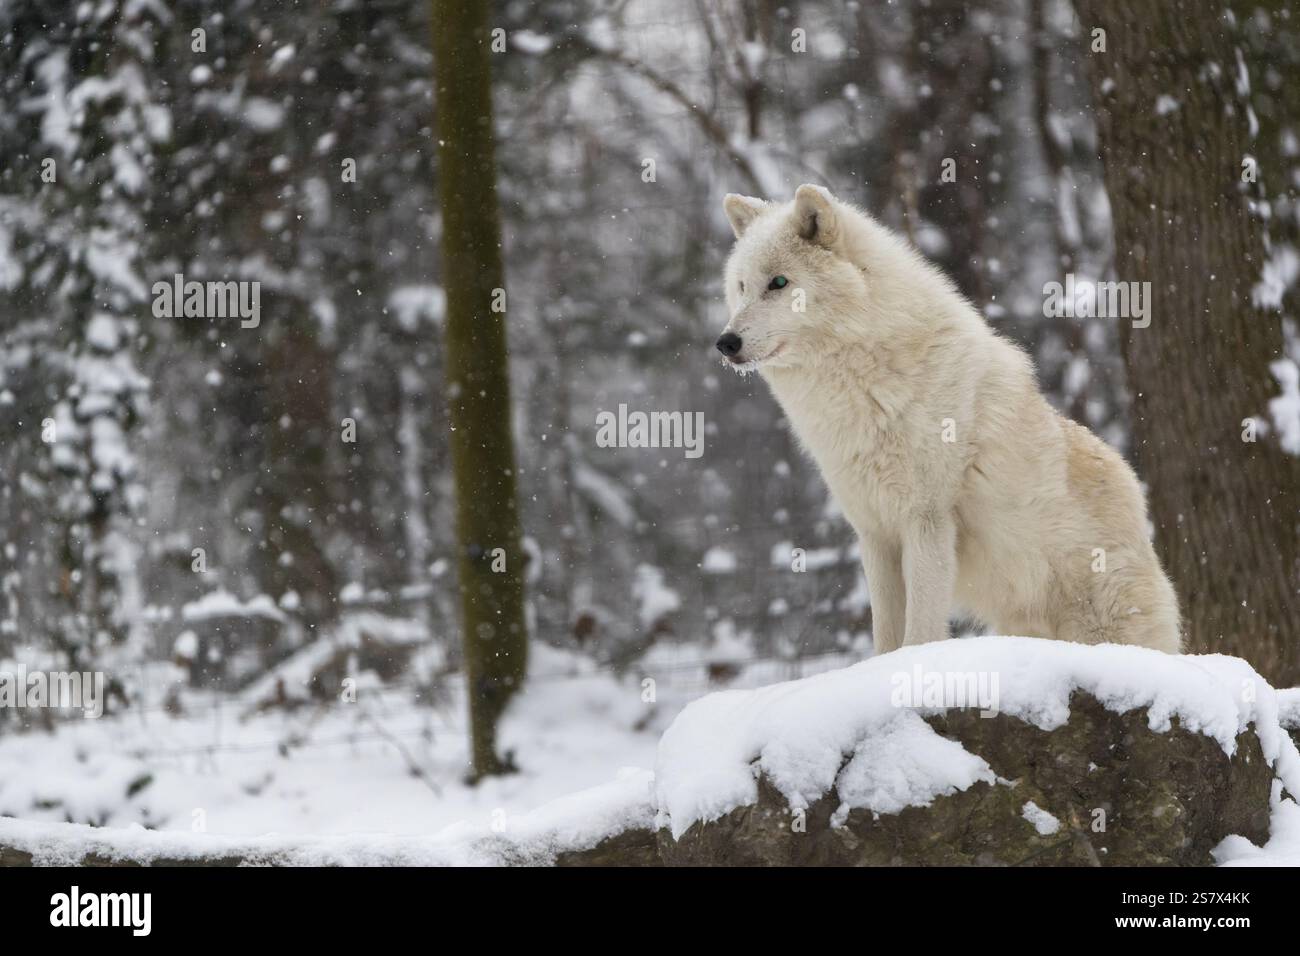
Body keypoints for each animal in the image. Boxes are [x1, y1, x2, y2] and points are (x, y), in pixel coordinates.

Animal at [718, 185, 1181, 654]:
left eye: (779, 283)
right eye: (741, 287)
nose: (725, 342)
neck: (864, 375)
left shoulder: (927, 521)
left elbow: (920, 631)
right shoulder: (875, 533)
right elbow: (886, 635)